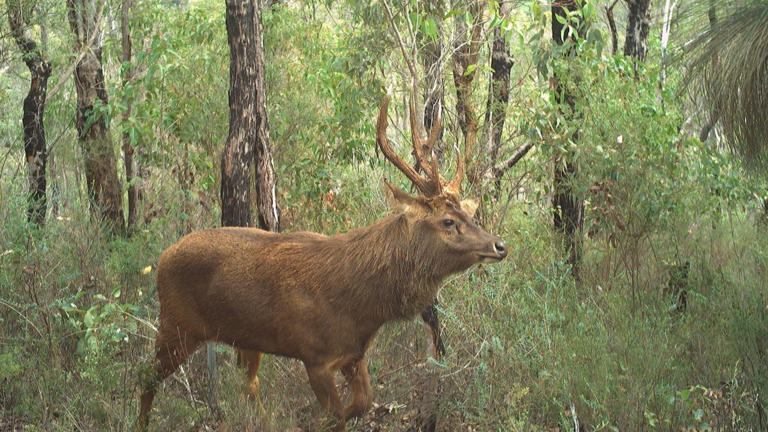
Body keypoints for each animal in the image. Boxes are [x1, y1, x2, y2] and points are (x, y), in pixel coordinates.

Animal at [136, 91, 507, 432]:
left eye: (469, 213)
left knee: (248, 386)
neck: (360, 304)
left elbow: (361, 404)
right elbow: (336, 417)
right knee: (146, 379)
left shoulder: (353, 354)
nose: (499, 245)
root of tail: (163, 258)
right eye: (448, 221)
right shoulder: (314, 355)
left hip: (245, 340)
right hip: (176, 325)